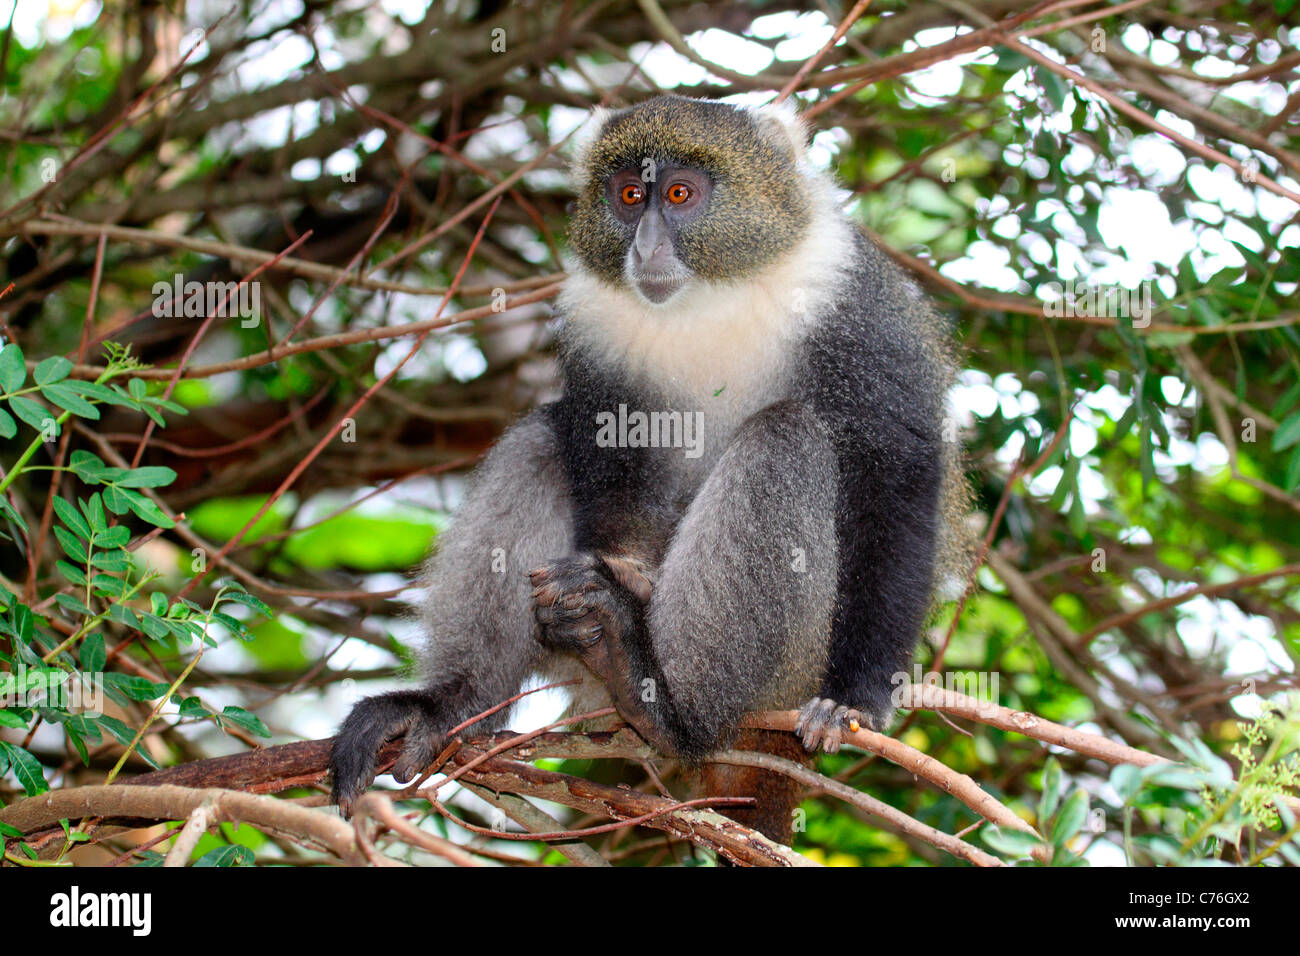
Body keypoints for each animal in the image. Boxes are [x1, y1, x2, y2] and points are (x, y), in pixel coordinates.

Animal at [329, 94, 965, 846]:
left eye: (681, 195)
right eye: (630, 196)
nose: (646, 247)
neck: (715, 296)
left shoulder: (855, 306)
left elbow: (896, 477)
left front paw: (855, 698)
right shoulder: (598, 327)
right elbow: (608, 446)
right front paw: (617, 572)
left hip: (793, 664)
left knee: (786, 436)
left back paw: (664, 701)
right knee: (541, 439)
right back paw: (456, 702)